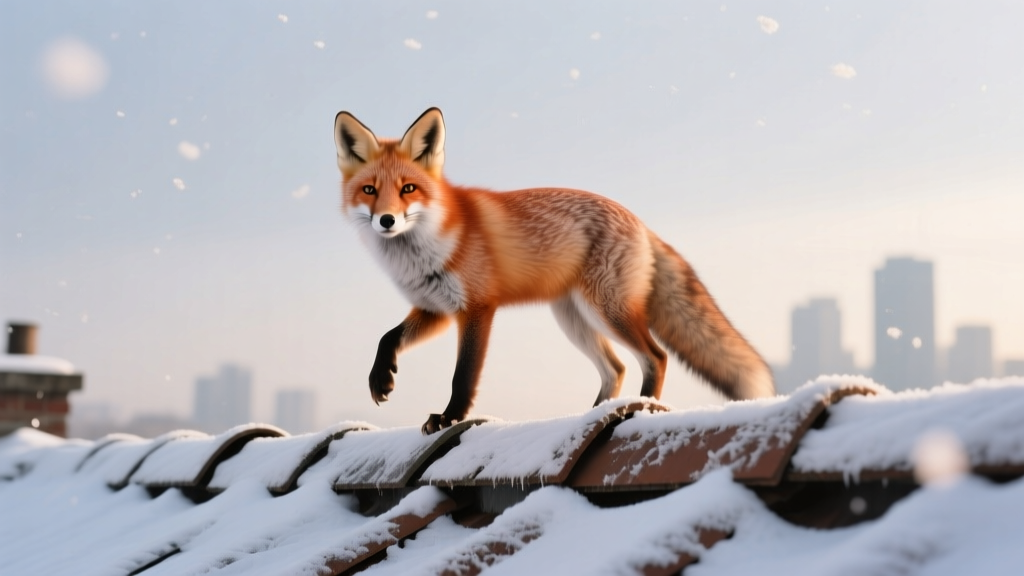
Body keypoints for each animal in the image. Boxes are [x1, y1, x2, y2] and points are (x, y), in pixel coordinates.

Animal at [334, 107, 774, 434]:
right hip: (574, 319)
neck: (423, 249)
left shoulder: (476, 307)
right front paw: (381, 378)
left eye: (408, 189)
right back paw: (590, 415)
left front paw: (450, 418)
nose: (387, 220)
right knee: (616, 368)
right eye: (370, 191)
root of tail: (639, 222)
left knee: (656, 357)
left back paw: (643, 405)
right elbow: (387, 337)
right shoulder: (436, 309)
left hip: (607, 310)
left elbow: (463, 375)